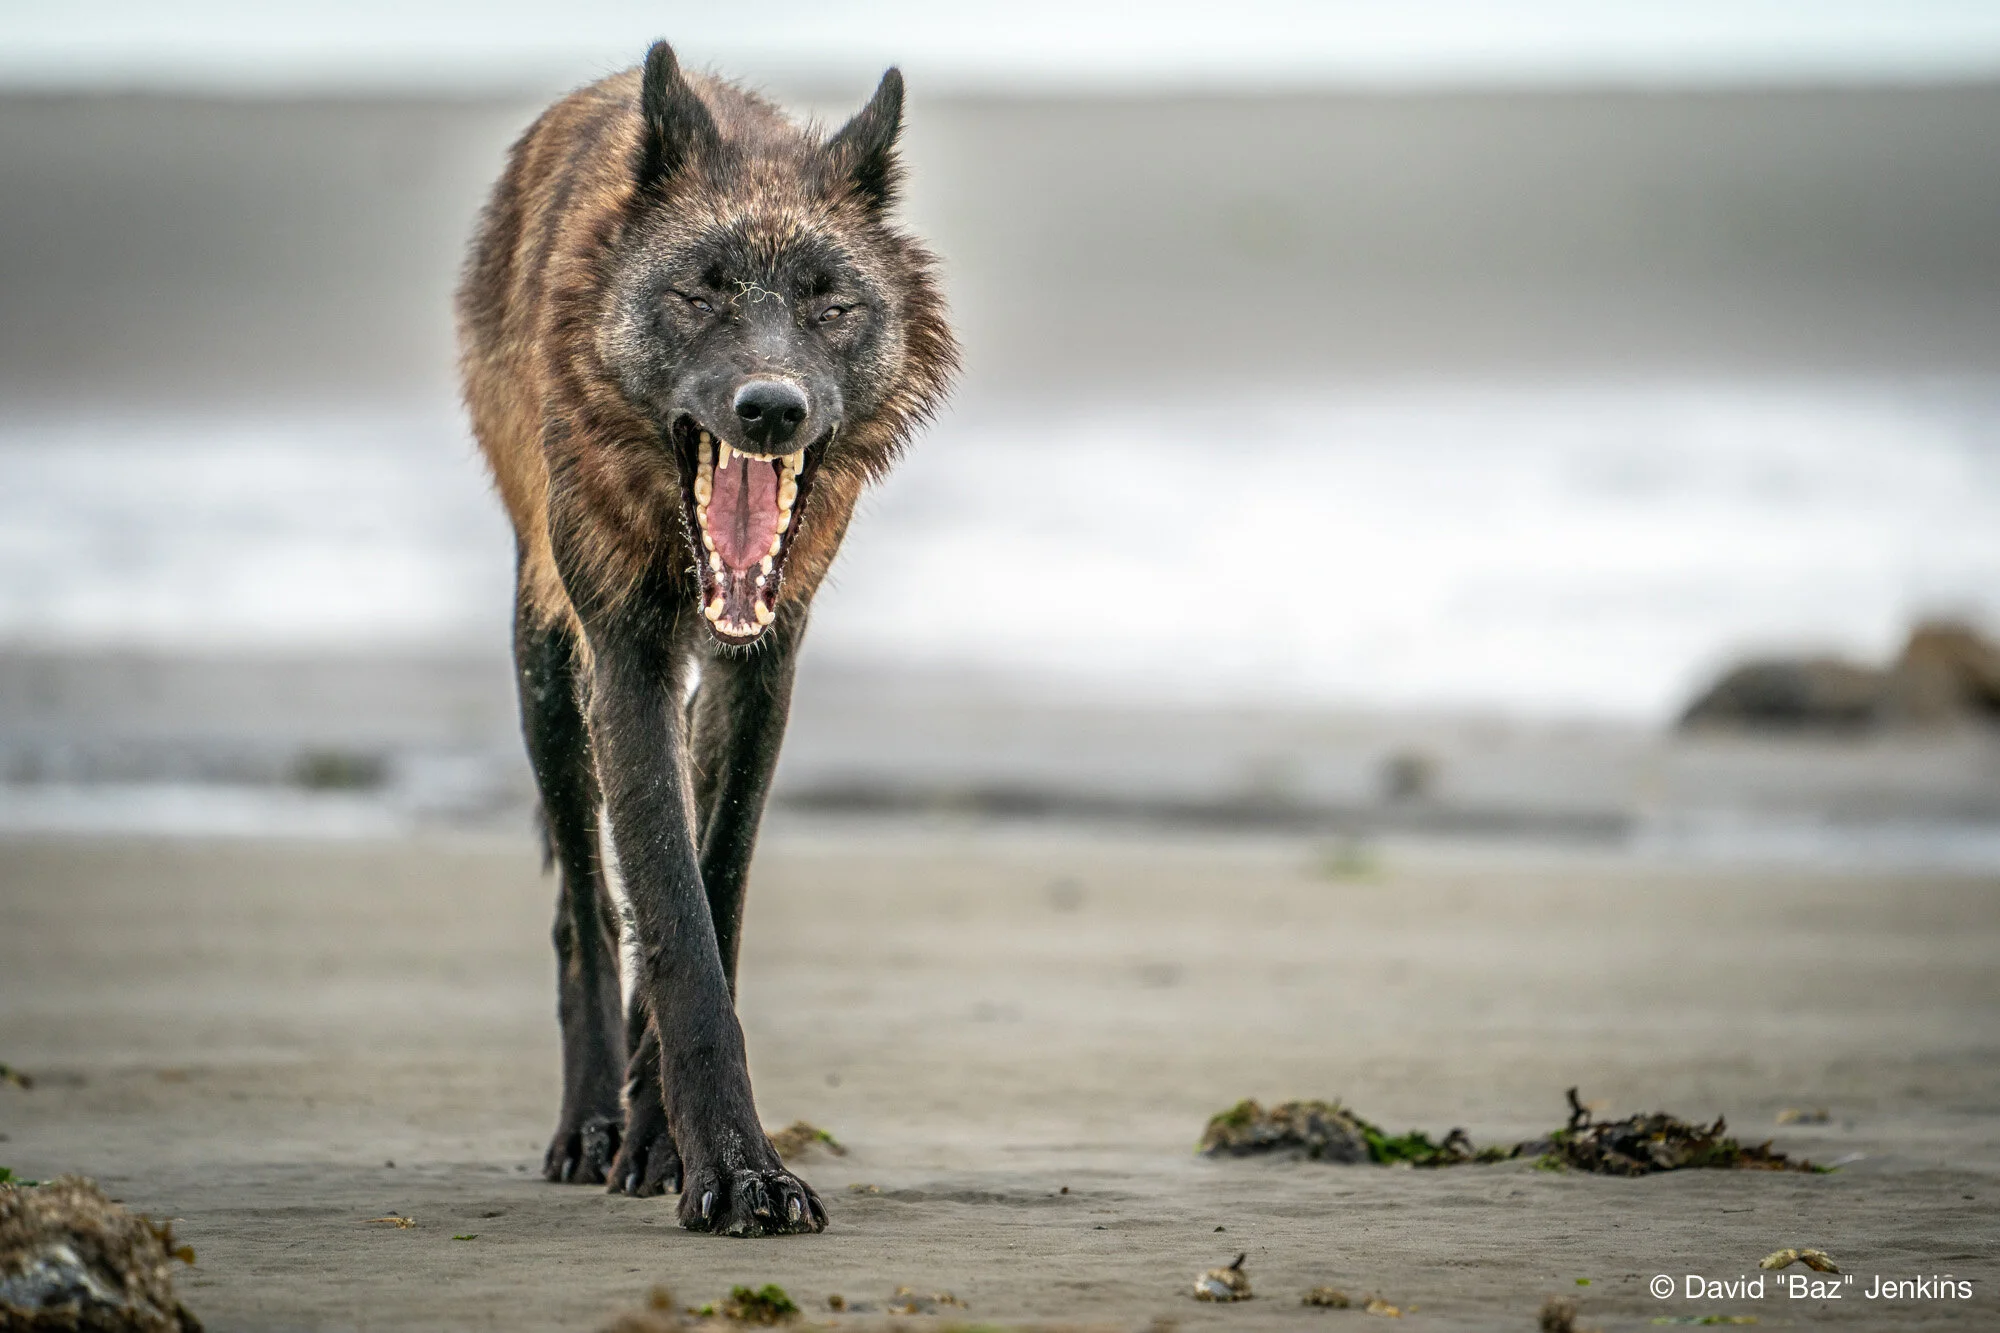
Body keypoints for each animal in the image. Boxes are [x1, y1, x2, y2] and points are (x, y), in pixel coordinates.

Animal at [455, 41, 956, 1236]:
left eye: (830, 304)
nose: (770, 408)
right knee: (585, 911)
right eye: (699, 292)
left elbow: (713, 893)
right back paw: (589, 1124)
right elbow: (672, 925)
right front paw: (732, 1166)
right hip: (547, 678)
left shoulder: (761, 673)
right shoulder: (624, 666)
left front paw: (668, 1140)